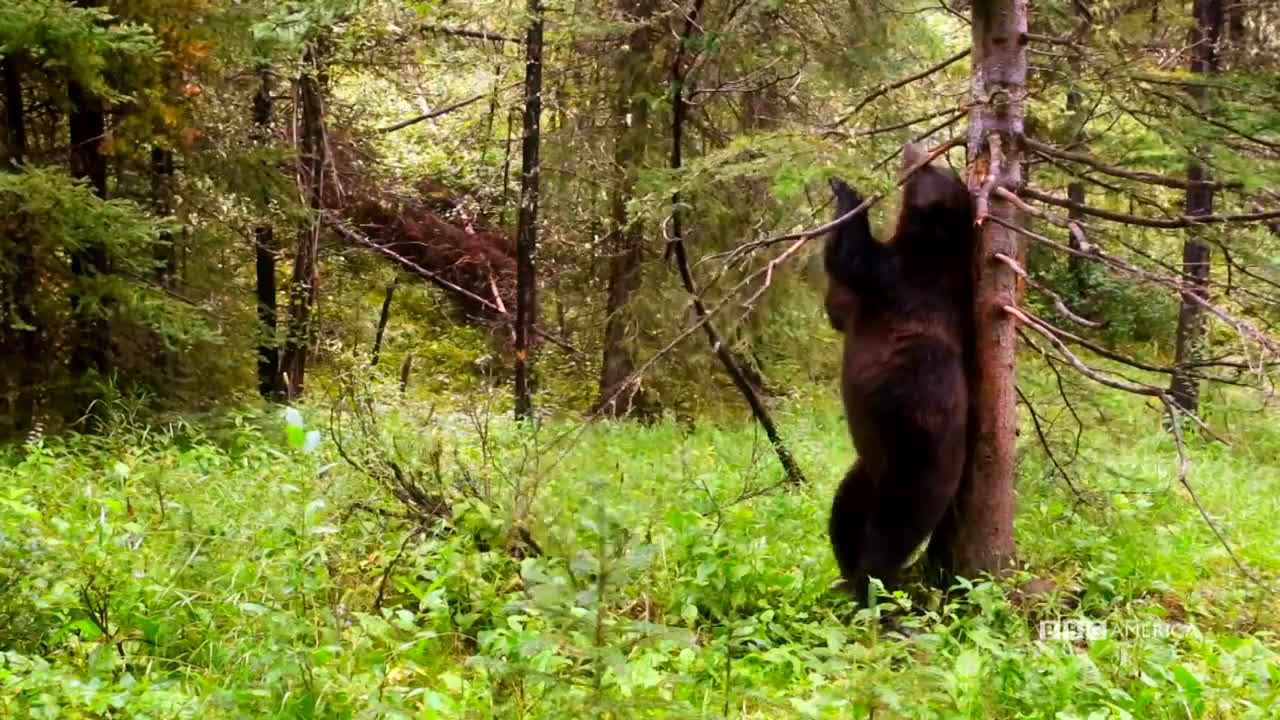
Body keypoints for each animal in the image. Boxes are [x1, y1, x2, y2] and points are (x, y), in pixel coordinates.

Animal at [823, 145, 976, 606]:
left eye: (931, 167)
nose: (915, 146)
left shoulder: (899, 278)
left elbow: (850, 257)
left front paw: (844, 189)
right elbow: (840, 310)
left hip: (913, 466)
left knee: (888, 537)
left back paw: (869, 591)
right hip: (868, 468)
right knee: (843, 513)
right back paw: (845, 575)